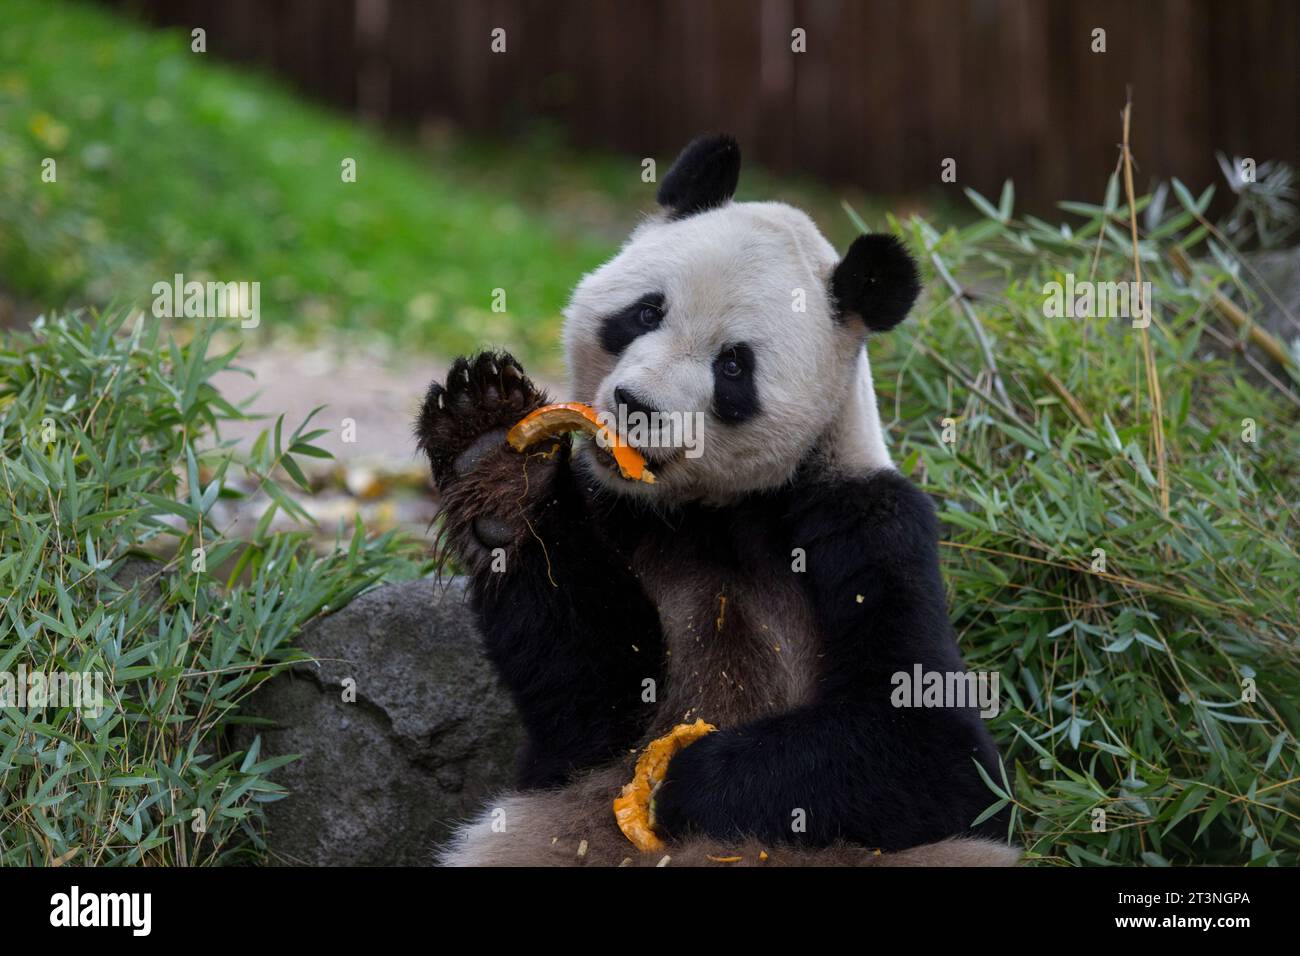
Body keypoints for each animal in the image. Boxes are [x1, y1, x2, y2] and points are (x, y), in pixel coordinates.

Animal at [416, 134, 1016, 867]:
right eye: (646, 312)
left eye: (733, 365)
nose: (636, 404)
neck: (715, 505)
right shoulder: (611, 509)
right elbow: (588, 701)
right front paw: (497, 460)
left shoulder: (866, 518)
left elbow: (937, 747)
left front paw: (677, 780)